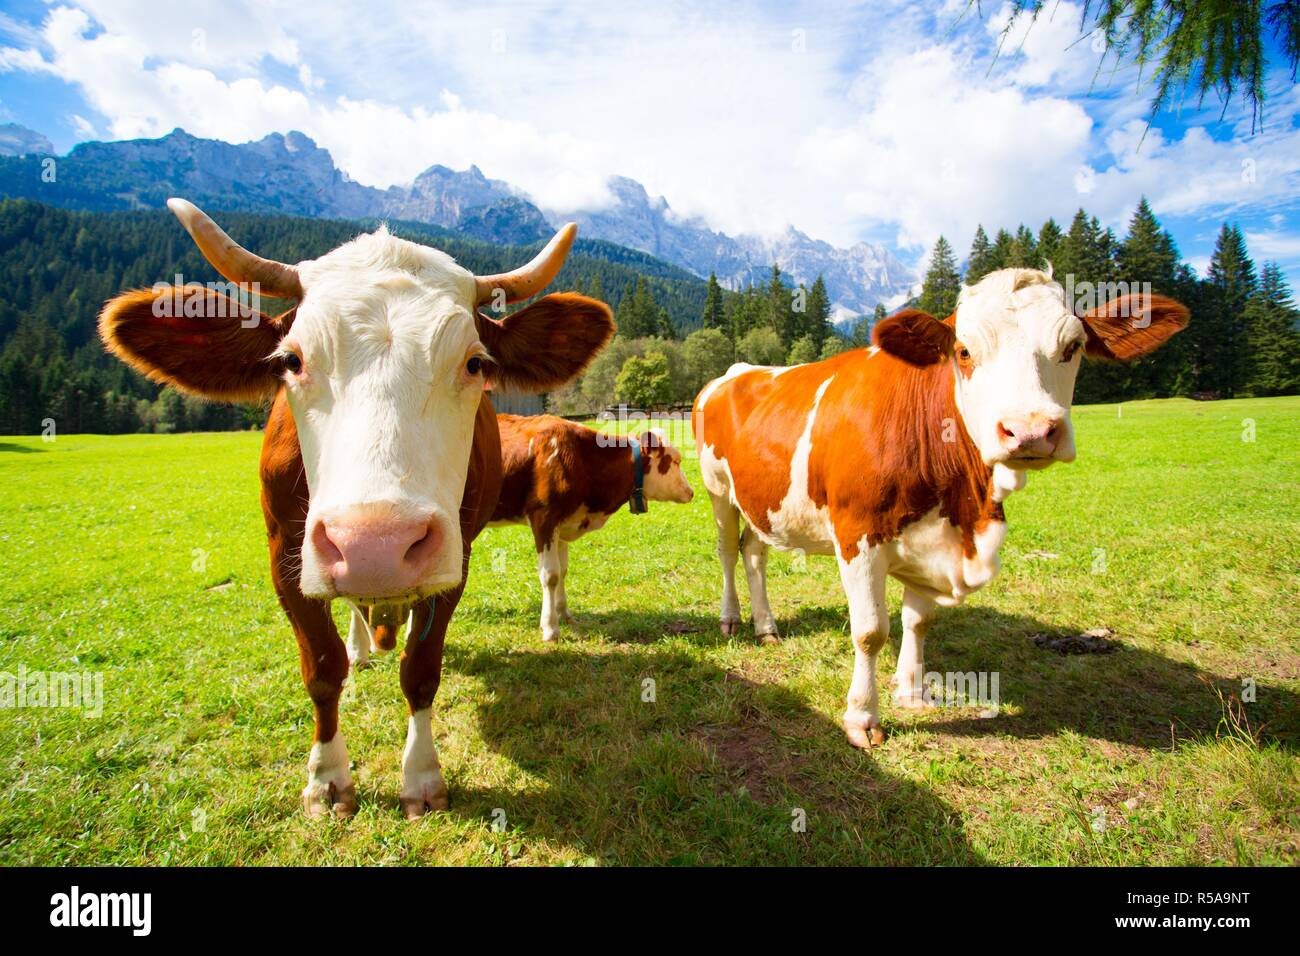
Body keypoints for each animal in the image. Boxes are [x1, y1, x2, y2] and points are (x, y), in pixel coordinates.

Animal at [98, 199, 613, 818]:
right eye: (292, 360)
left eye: (474, 364)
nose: (376, 547)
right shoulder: (285, 557)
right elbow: (322, 670)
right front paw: (327, 779)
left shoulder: (454, 557)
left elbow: (421, 671)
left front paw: (421, 778)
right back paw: (363, 644)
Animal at [485, 415, 694, 642]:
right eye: (675, 461)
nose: (691, 492)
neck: (583, 457)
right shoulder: (544, 519)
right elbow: (550, 575)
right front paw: (550, 628)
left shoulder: (562, 524)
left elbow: (562, 571)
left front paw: (564, 614)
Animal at [692, 268, 1187, 749]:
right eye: (964, 352)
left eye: (1073, 346)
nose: (1029, 431)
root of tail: (737, 371)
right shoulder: (857, 536)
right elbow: (870, 631)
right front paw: (862, 718)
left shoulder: (932, 540)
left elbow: (919, 619)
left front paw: (912, 691)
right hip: (718, 491)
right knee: (728, 552)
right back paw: (731, 618)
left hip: (761, 501)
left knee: (754, 554)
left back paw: (766, 627)